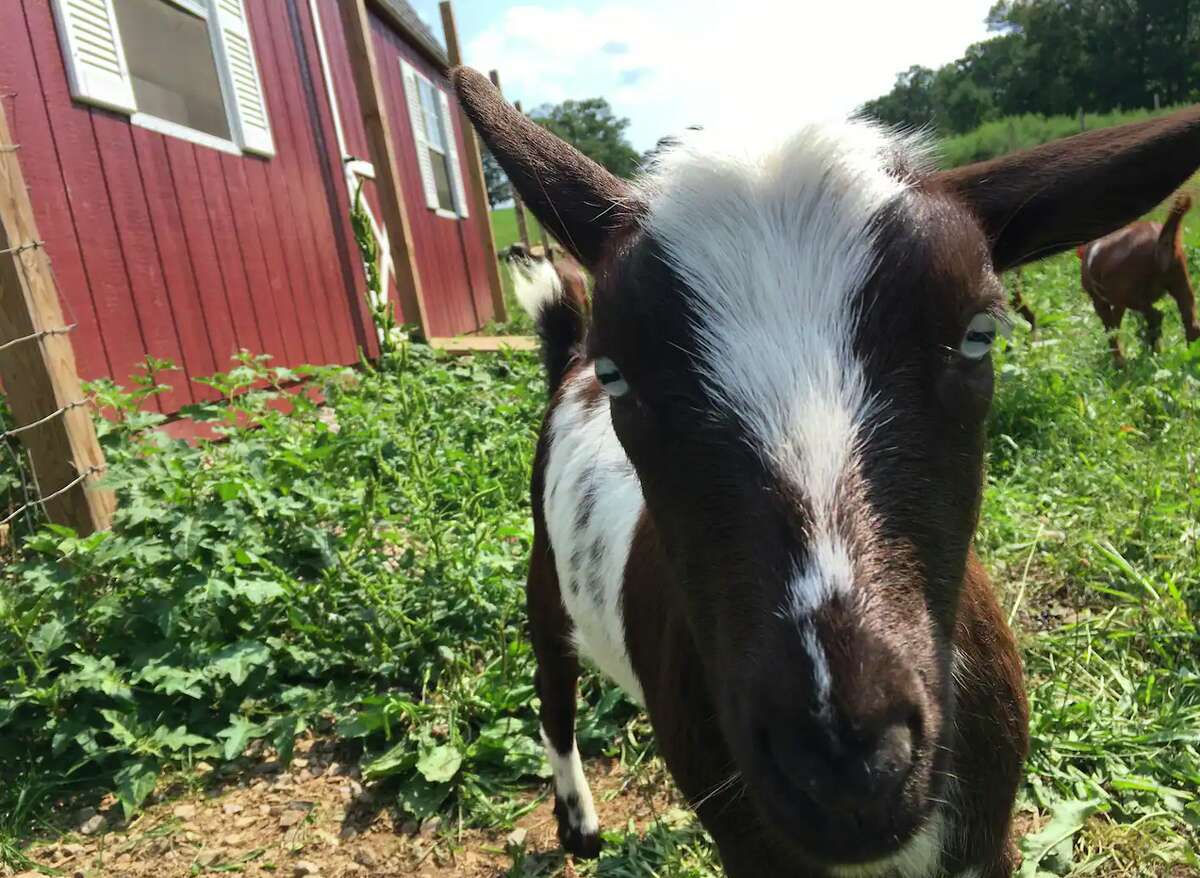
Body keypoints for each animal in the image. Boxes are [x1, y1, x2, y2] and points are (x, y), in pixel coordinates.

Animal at [1078, 194, 1199, 365]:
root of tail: (1160, 239)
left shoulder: (1099, 300)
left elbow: (1110, 329)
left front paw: (1118, 361)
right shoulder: (1118, 303)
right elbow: (1116, 323)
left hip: (1134, 295)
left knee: (1156, 317)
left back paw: (1151, 353)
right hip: (1180, 282)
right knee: (1190, 323)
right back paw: (1188, 356)